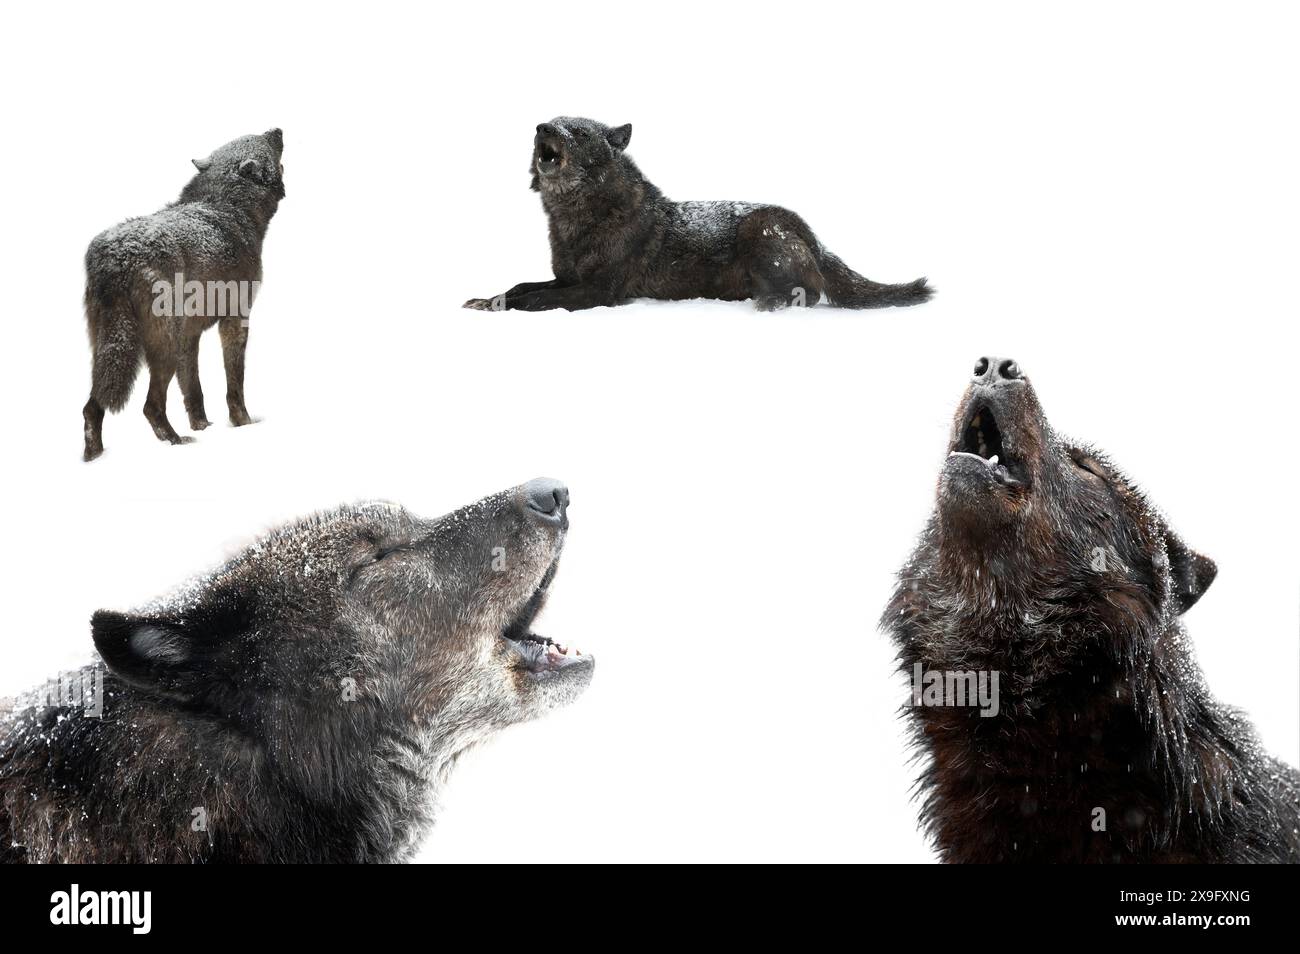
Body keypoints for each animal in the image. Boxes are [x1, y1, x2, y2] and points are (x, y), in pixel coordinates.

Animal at [81, 129, 286, 461]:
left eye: (256, 135)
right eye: (266, 141)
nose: (277, 129)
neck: (226, 207)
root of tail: (118, 257)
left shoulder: (190, 336)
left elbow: (194, 389)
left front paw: (203, 426)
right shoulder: (236, 320)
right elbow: (234, 384)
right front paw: (242, 424)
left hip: (111, 350)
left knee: (92, 408)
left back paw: (94, 457)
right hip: (162, 346)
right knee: (150, 406)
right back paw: (177, 442)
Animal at [463, 117, 931, 312]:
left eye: (577, 131)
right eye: (550, 122)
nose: (542, 127)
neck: (580, 218)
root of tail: (816, 238)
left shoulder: (599, 291)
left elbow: (536, 299)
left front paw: (503, 308)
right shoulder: (567, 277)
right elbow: (522, 285)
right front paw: (489, 298)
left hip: (761, 231)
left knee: (810, 293)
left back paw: (772, 303)